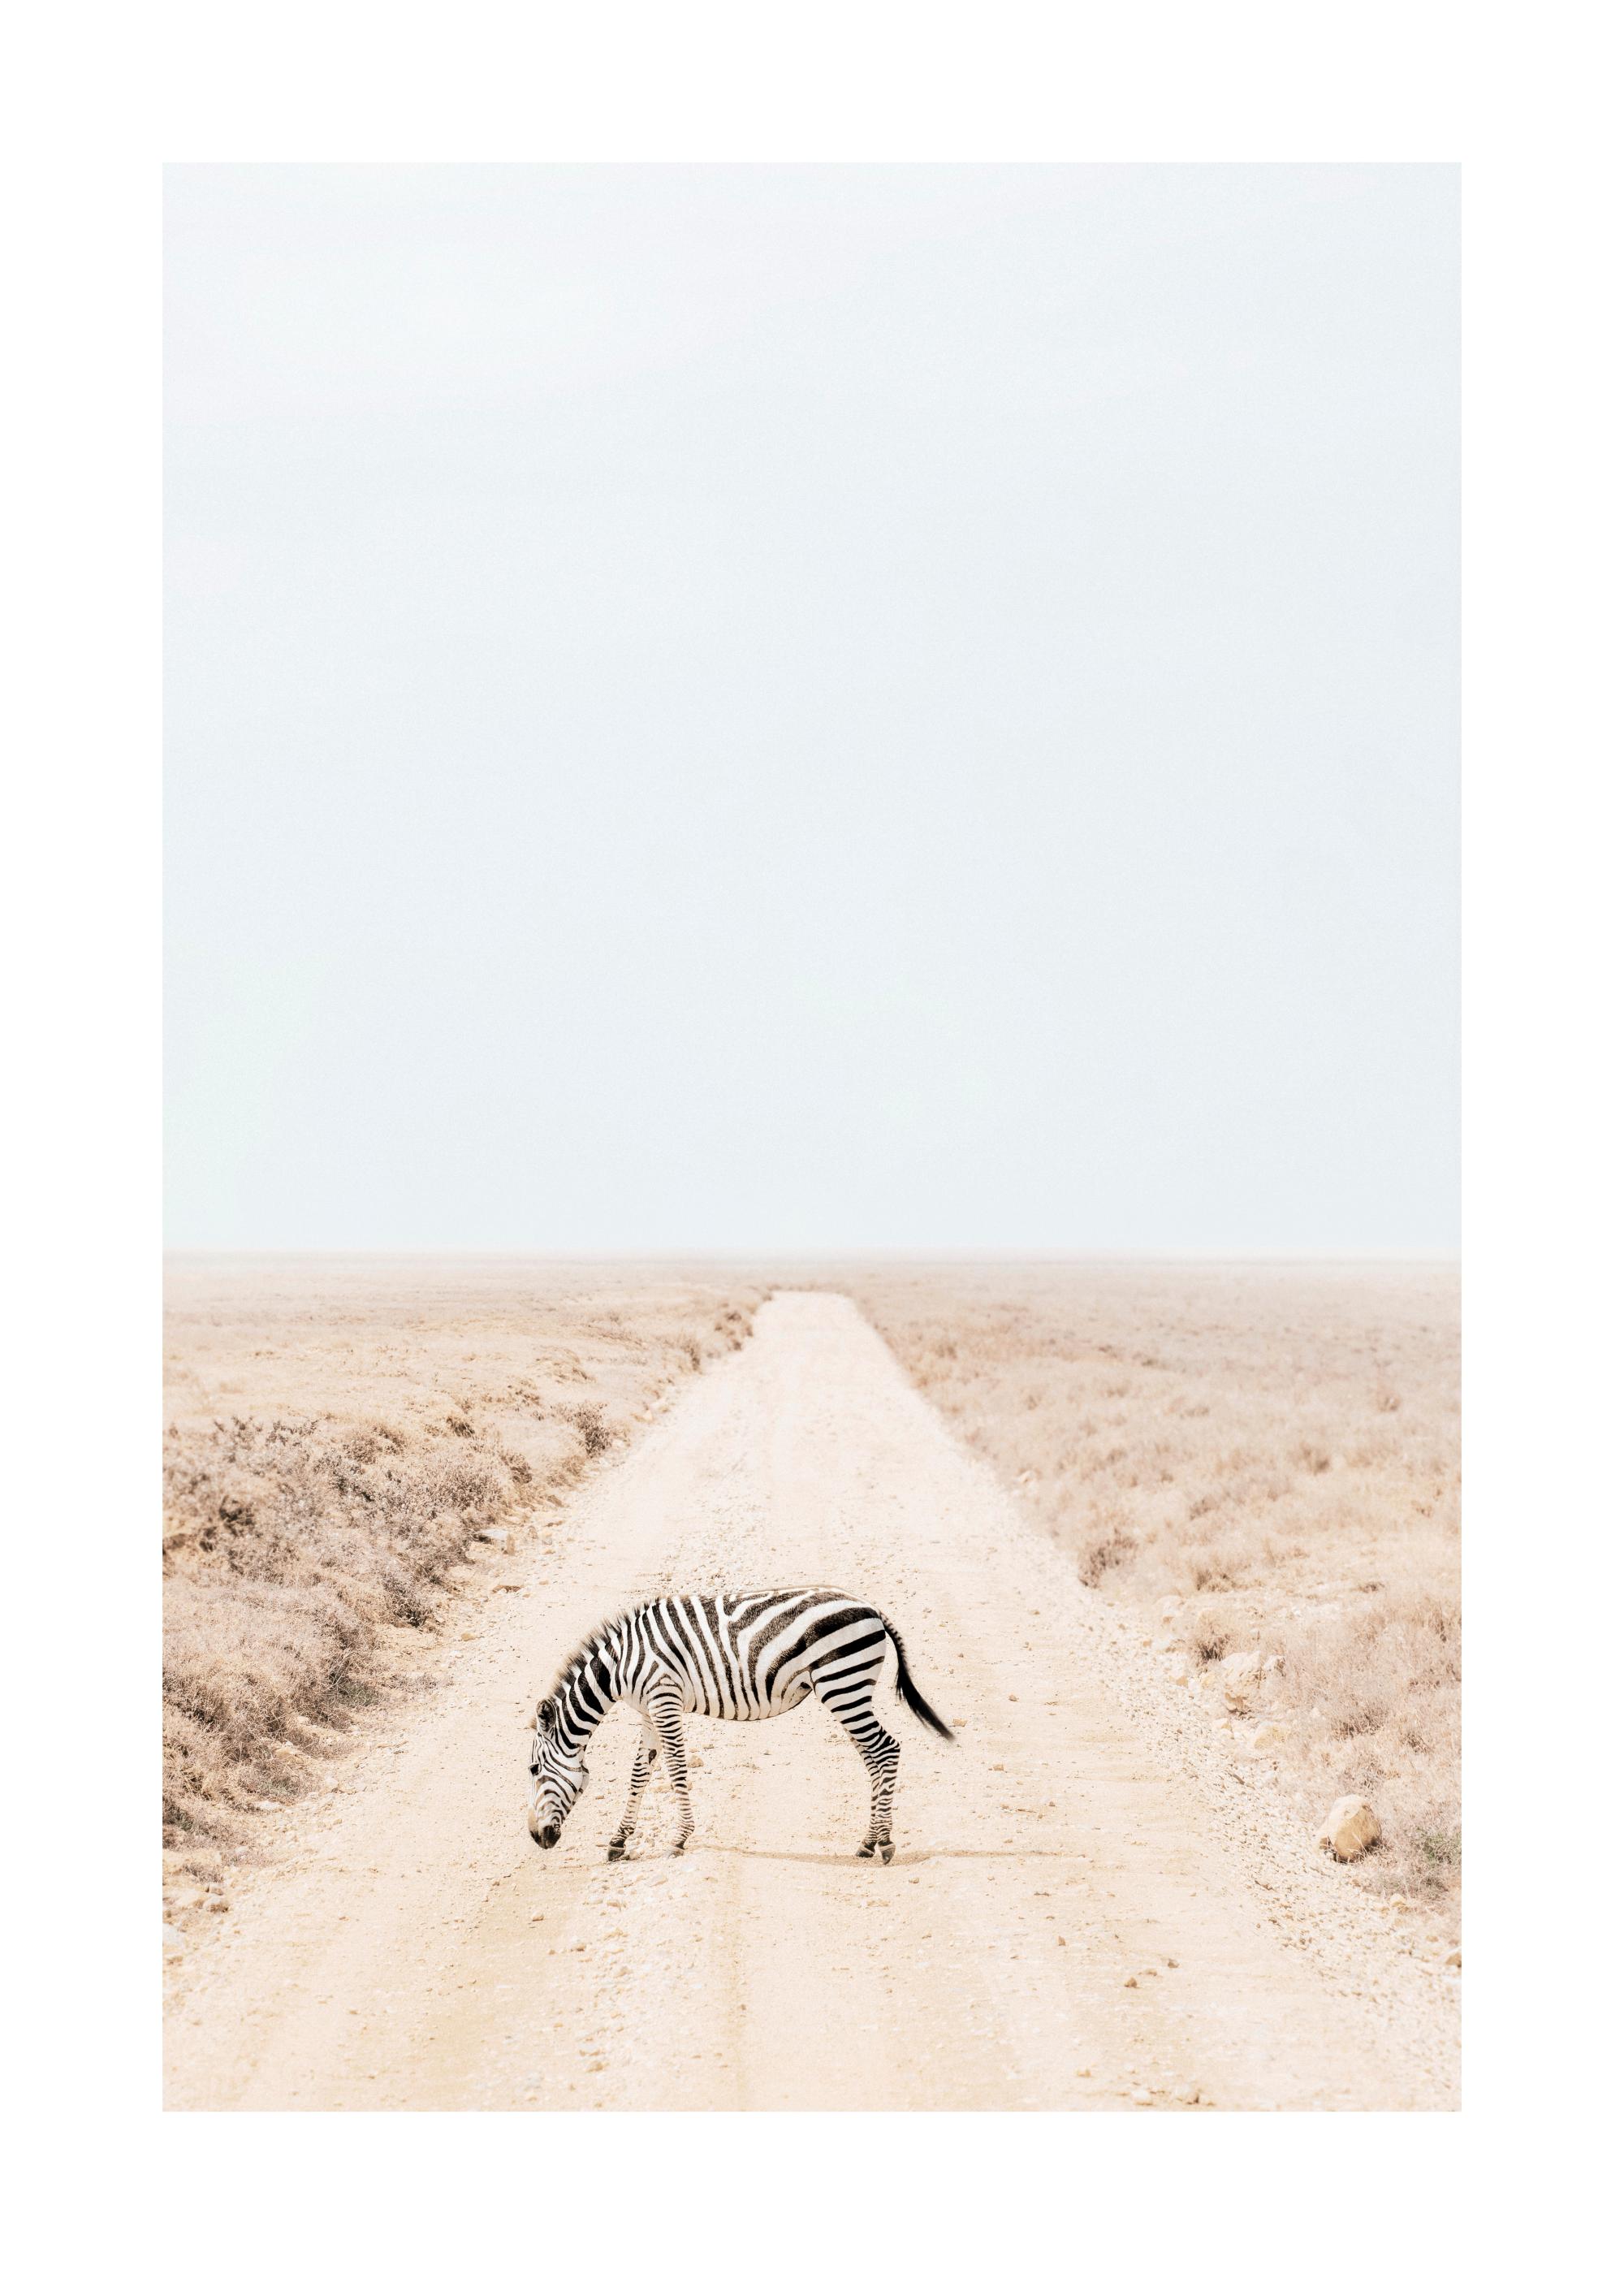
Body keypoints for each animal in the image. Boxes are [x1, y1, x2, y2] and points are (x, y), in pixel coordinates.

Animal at [527, 1587, 954, 1864]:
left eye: (532, 1770)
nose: (535, 1838)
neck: (618, 1667)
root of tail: (873, 1610)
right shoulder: (649, 1710)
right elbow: (638, 1776)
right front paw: (618, 1841)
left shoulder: (665, 1701)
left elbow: (677, 1770)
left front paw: (679, 1840)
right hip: (848, 1689)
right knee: (874, 1756)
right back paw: (869, 1842)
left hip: (842, 1684)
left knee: (887, 1749)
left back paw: (884, 1843)